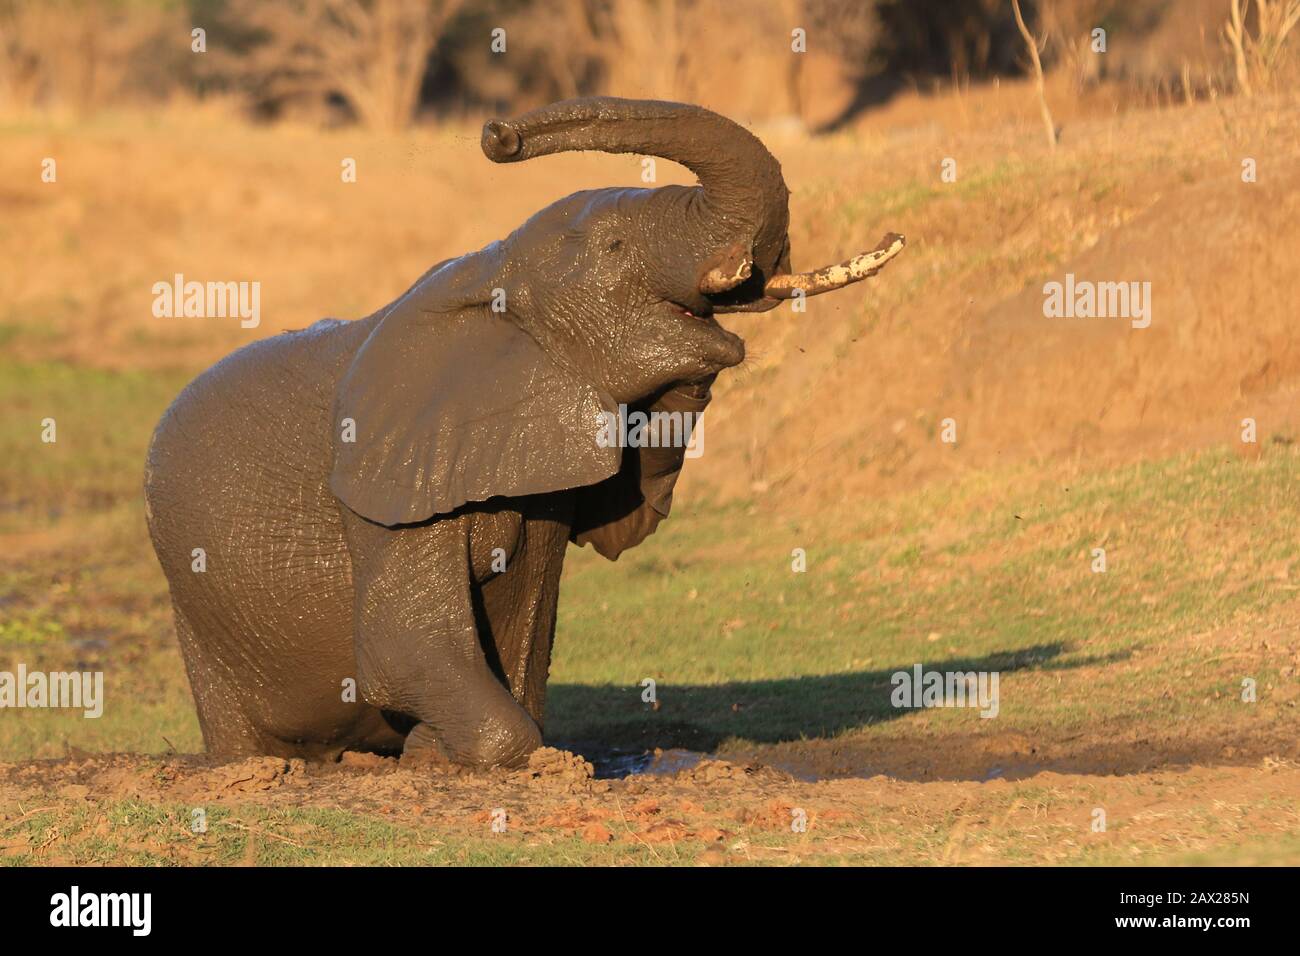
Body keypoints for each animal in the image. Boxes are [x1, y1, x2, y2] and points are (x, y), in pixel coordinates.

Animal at [144, 97, 904, 769]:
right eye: (615, 246)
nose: (496, 133)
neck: (492, 266)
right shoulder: (382, 487)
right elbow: (401, 646)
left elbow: (588, 558)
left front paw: (430, 751)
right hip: (195, 603)